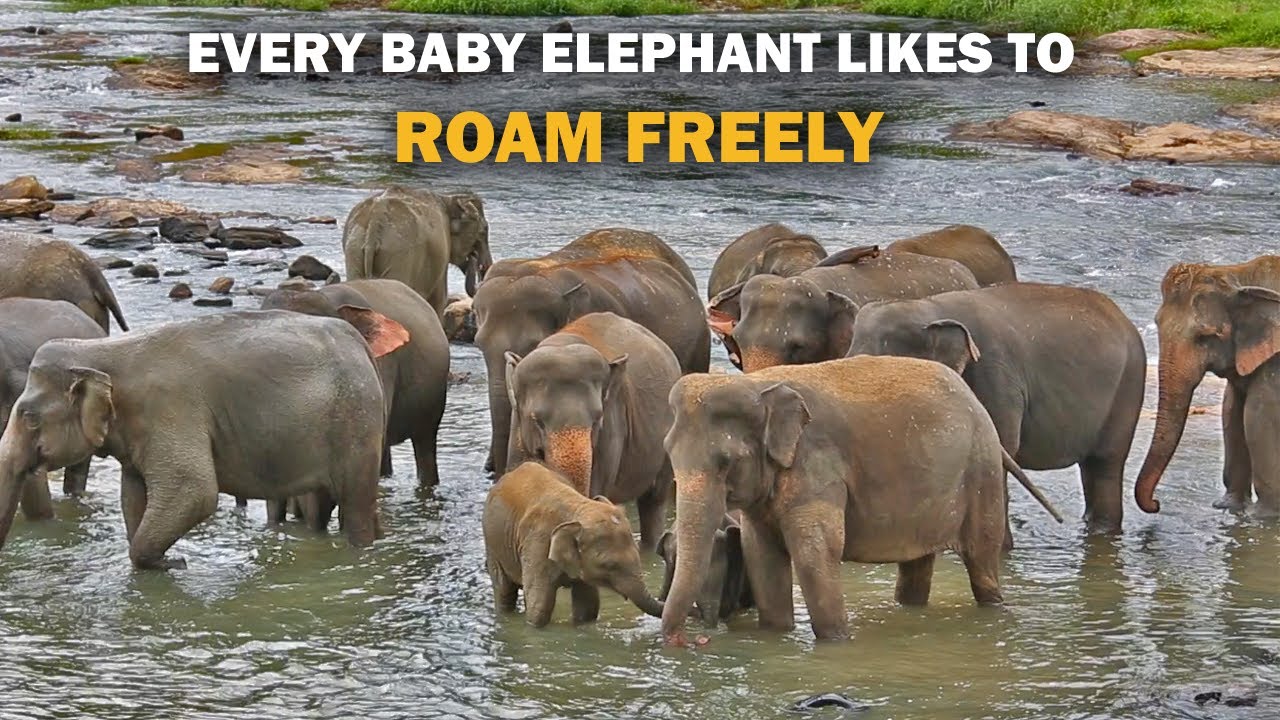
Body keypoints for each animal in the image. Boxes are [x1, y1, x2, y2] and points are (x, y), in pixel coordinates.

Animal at [342, 186, 492, 315]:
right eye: (484, 231)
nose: (474, 257)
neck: (447, 198)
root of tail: (376, 218)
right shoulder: (441, 253)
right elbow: (439, 300)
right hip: (400, 255)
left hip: (354, 249)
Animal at [483, 461, 665, 627]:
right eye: (610, 565)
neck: (579, 506)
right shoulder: (537, 545)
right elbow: (539, 608)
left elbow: (587, 606)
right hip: (493, 545)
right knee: (504, 590)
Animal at [504, 311, 680, 551]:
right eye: (536, 420)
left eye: (597, 418)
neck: (563, 342)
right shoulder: (517, 427)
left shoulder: (612, 431)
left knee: (653, 501)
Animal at [659, 355, 1059, 644]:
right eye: (668, 453)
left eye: (726, 462)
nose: (690, 641)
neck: (757, 384)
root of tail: (975, 400)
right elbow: (762, 556)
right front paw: (776, 637)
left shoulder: (818, 465)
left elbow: (816, 551)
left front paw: (837, 642)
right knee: (916, 565)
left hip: (981, 473)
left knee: (981, 561)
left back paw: (991, 610)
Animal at [1136, 256, 1280, 517]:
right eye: (1157, 323)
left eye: (1205, 336)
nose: (1156, 504)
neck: (1240, 274)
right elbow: (1231, 412)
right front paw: (1228, 506)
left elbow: (1258, 418)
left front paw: (1262, 517)